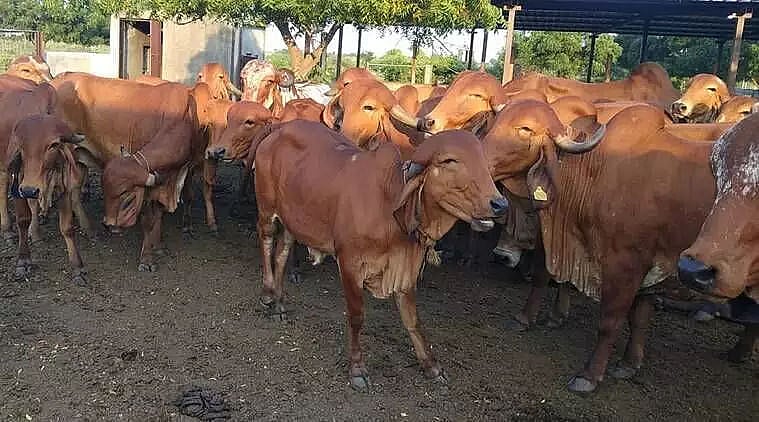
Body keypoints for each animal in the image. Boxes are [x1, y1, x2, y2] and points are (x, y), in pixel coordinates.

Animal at [6, 115, 87, 284]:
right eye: (21, 146)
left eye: (53, 145)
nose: (29, 190)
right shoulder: (17, 184)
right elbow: (23, 221)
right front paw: (23, 260)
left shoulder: (63, 186)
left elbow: (67, 227)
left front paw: (77, 267)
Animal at [253, 120, 507, 390]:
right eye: (449, 160)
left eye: (483, 159)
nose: (500, 204)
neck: (388, 204)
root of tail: (278, 130)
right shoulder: (350, 263)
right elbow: (357, 316)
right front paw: (356, 368)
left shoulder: (405, 270)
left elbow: (413, 320)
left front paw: (431, 365)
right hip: (267, 210)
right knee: (266, 241)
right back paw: (267, 294)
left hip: (292, 221)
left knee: (281, 253)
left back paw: (279, 304)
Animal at [482, 101, 730, 393]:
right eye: (498, 120)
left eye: (525, 129)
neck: (595, 170)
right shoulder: (651, 268)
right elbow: (639, 319)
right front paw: (629, 364)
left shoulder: (625, 265)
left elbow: (610, 322)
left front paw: (589, 375)